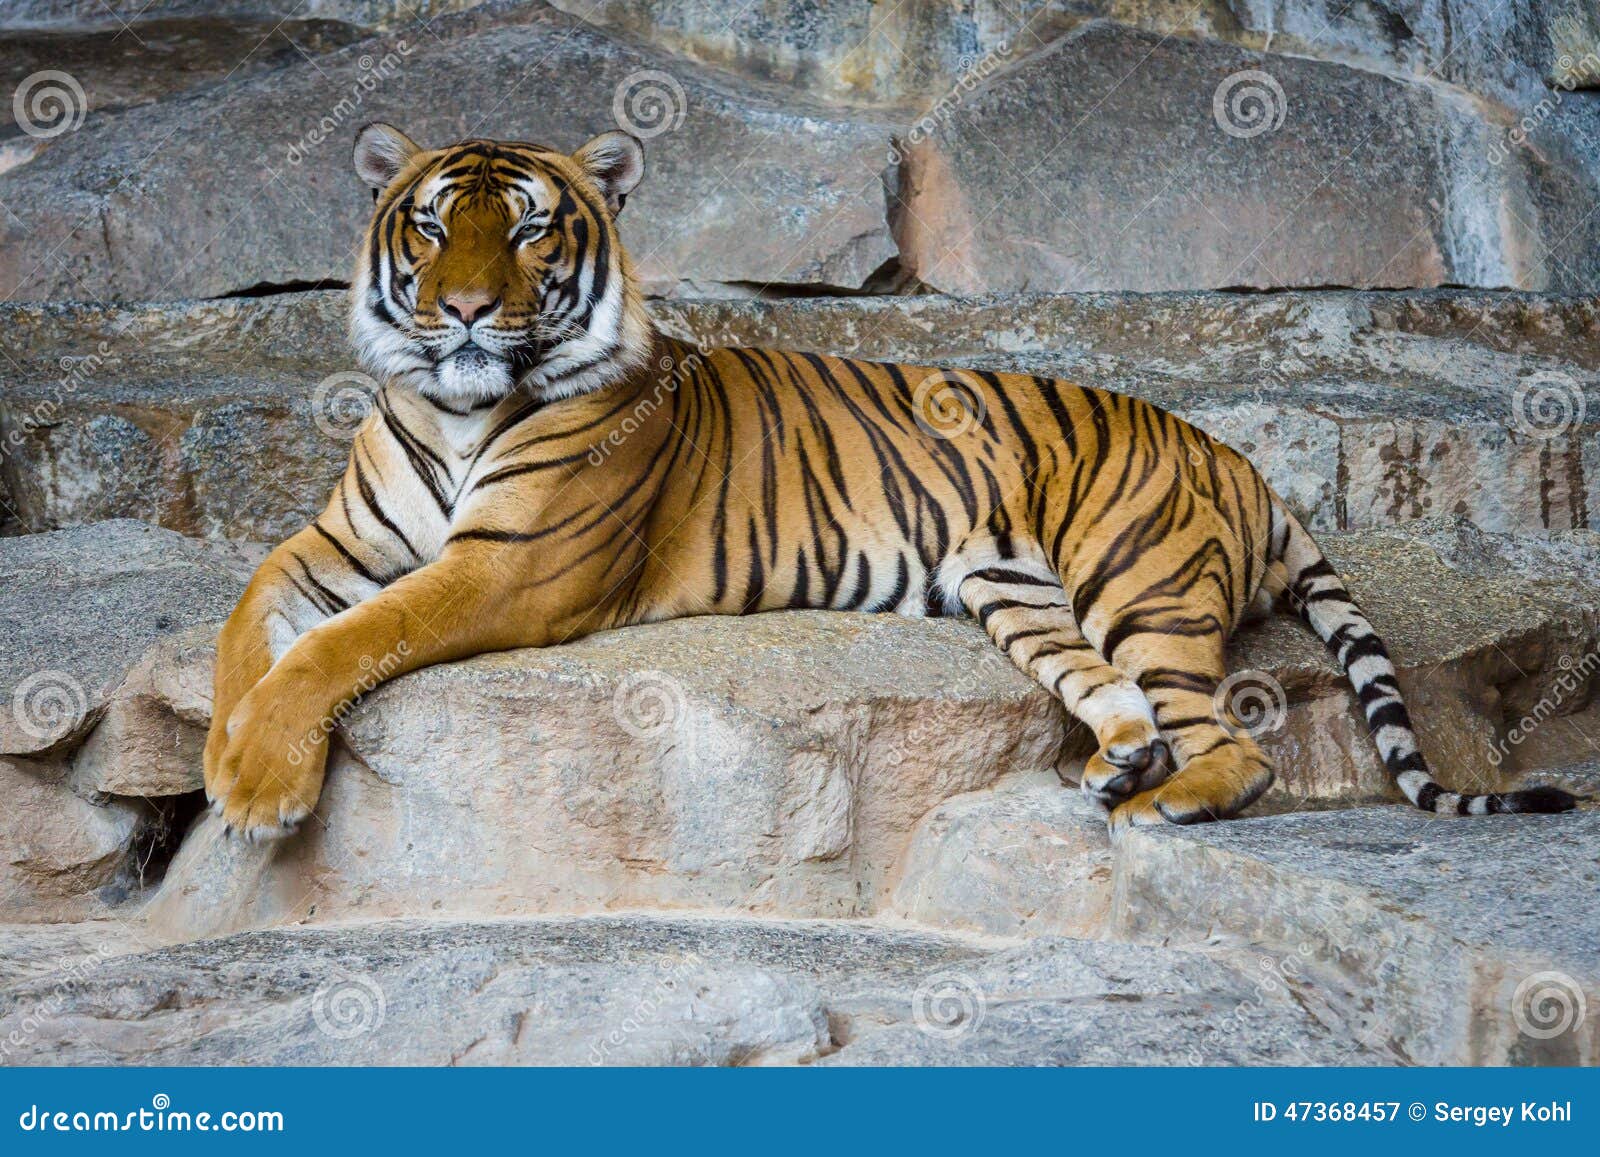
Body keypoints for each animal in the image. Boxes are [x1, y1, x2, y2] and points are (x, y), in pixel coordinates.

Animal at [203, 122, 1582, 840]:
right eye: (433, 224)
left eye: (534, 226)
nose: (466, 310)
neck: (451, 402)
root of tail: (1237, 454)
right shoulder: (332, 542)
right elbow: (247, 621)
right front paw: (219, 748)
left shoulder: (509, 566)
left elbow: (343, 644)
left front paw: (257, 785)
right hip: (1013, 591)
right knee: (1120, 699)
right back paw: (1112, 771)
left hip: (1135, 580)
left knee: (1234, 747)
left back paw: (1154, 808)